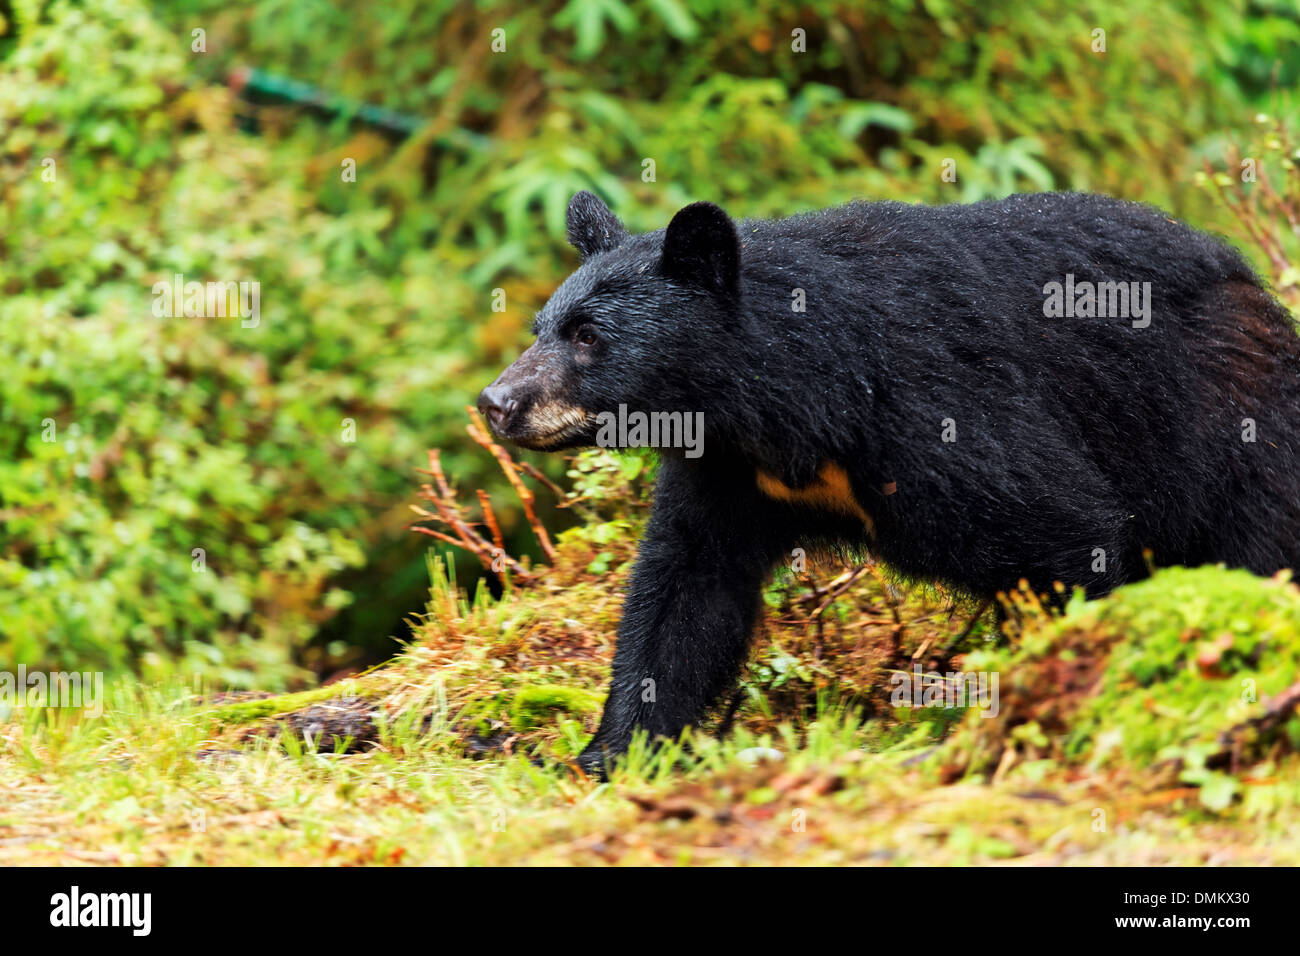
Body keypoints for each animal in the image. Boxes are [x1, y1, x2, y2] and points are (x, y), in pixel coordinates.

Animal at [478, 189, 1300, 776]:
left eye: (589, 336)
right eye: (541, 328)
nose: (497, 403)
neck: (782, 403)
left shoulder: (935, 406)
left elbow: (1055, 528)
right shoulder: (731, 473)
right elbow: (685, 592)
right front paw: (604, 756)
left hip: (1226, 418)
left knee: (1259, 537)